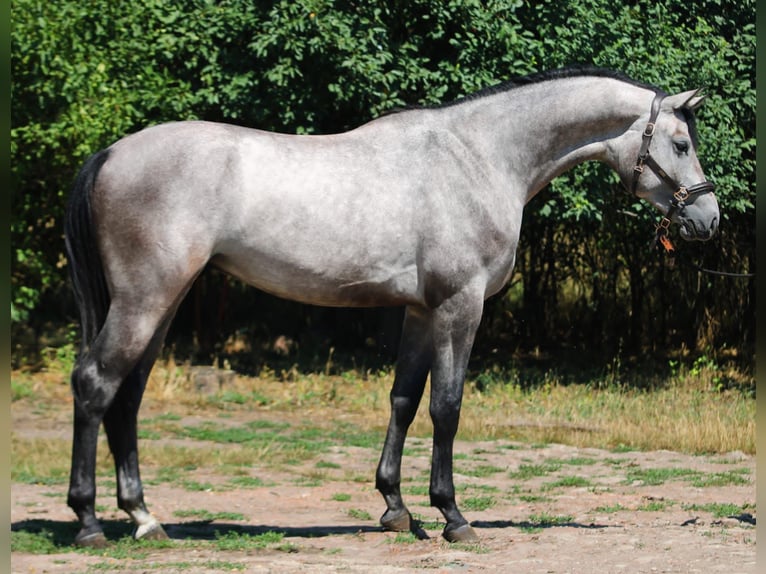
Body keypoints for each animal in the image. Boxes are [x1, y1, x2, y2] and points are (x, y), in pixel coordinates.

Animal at [63, 67, 719, 547]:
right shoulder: (460, 307)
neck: (478, 158)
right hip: (146, 299)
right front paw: (453, 516)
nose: (709, 219)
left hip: (162, 303)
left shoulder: (421, 312)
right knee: (96, 384)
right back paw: (91, 522)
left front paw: (397, 509)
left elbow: (403, 400)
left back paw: (144, 518)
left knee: (128, 395)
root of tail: (111, 154)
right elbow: (446, 407)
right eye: (681, 143)